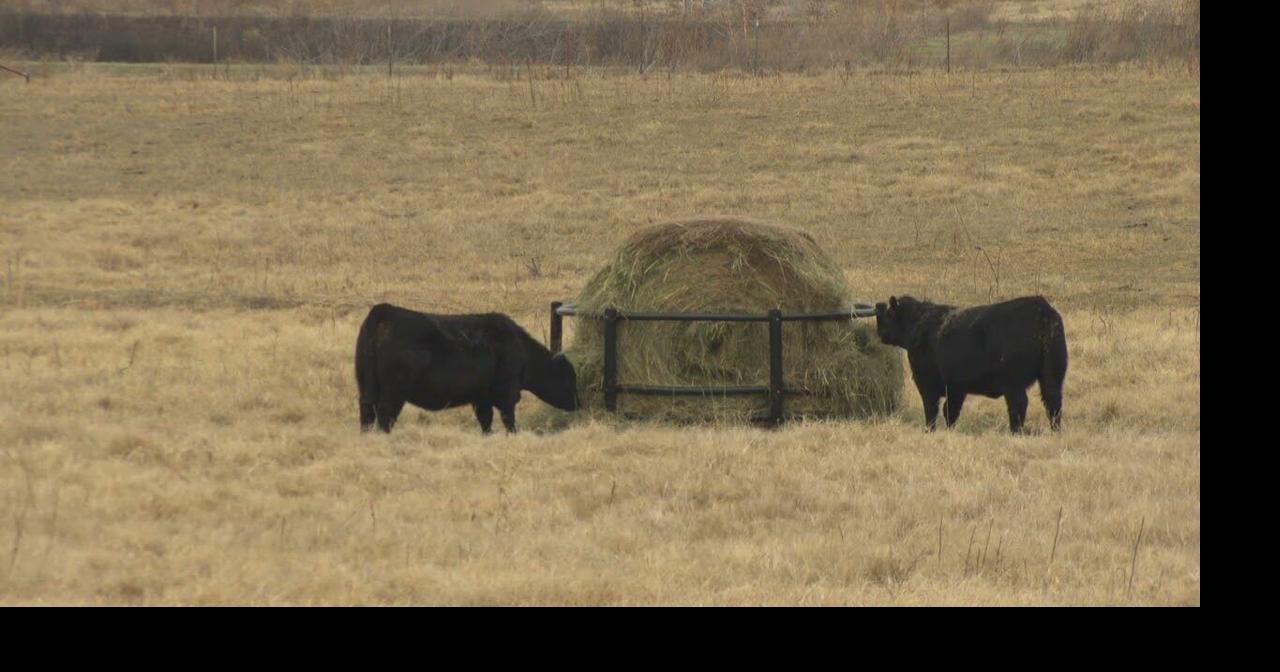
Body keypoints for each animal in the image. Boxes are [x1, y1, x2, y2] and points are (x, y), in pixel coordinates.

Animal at [354, 303, 579, 434]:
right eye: (569, 378)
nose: (579, 403)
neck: (520, 347)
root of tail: (383, 311)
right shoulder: (507, 393)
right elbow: (508, 419)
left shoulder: (482, 397)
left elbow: (486, 420)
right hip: (393, 392)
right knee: (385, 415)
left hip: (366, 388)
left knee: (367, 414)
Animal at [874, 295, 1068, 434]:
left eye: (889, 314)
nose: (879, 332)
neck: (919, 322)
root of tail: (1042, 310)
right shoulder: (956, 388)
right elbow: (950, 411)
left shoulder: (926, 382)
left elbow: (932, 409)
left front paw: (929, 431)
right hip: (1052, 378)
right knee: (1053, 403)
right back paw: (1055, 431)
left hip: (1014, 383)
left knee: (1019, 405)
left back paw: (1015, 432)